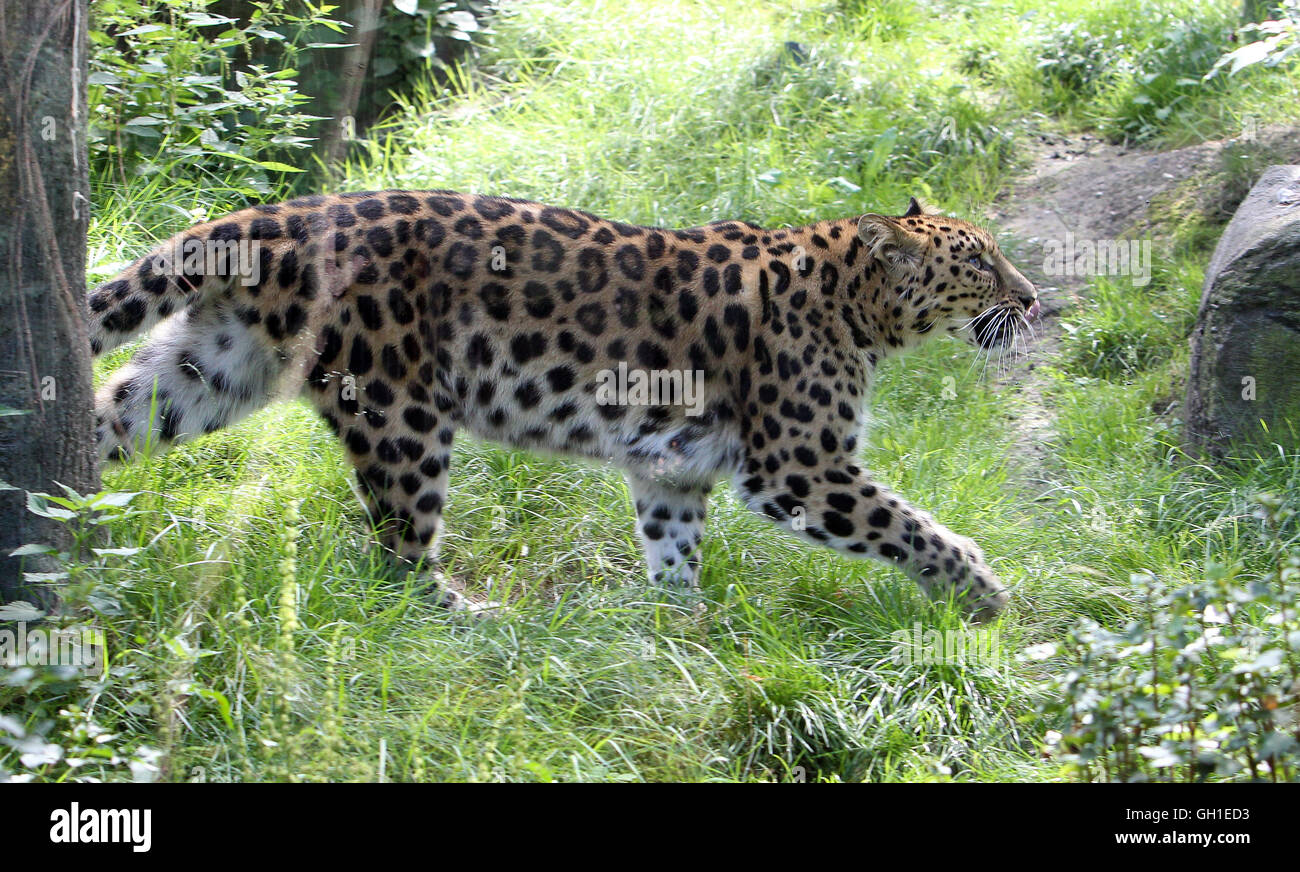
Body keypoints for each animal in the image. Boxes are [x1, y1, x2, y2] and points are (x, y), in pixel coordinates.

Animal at [88, 191, 1039, 620]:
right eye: (979, 263)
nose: (1032, 299)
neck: (858, 308)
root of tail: (278, 214)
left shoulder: (671, 469)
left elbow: (674, 552)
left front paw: (682, 632)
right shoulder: (798, 469)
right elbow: (911, 525)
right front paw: (985, 594)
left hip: (208, 371)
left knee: (110, 416)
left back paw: (69, 526)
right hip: (400, 413)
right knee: (398, 558)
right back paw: (476, 623)